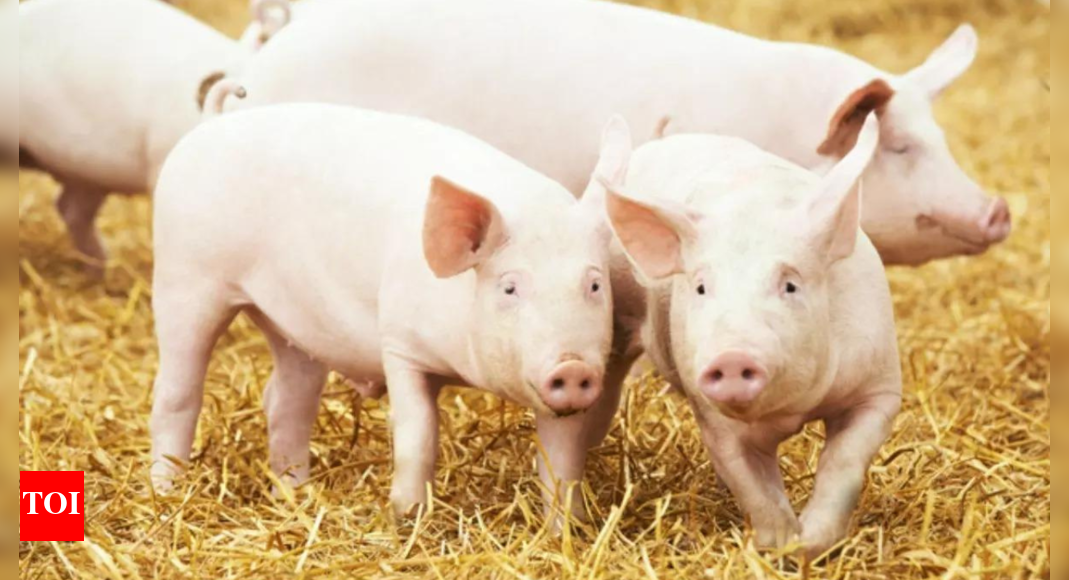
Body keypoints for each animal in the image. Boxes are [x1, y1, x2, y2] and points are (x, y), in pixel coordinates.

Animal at [149, 104, 633, 521]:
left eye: (594, 285)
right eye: (510, 287)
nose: (571, 367)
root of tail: (205, 130)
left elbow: (563, 461)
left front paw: (567, 528)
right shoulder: (400, 345)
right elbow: (418, 435)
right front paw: (406, 515)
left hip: (296, 327)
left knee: (286, 402)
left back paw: (296, 493)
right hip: (185, 280)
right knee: (176, 395)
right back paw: (165, 491)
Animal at [604, 115, 902, 559]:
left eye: (790, 285)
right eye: (701, 288)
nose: (731, 357)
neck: (792, 411)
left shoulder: (879, 388)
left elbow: (844, 462)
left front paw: (810, 542)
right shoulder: (713, 419)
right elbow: (754, 488)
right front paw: (782, 546)